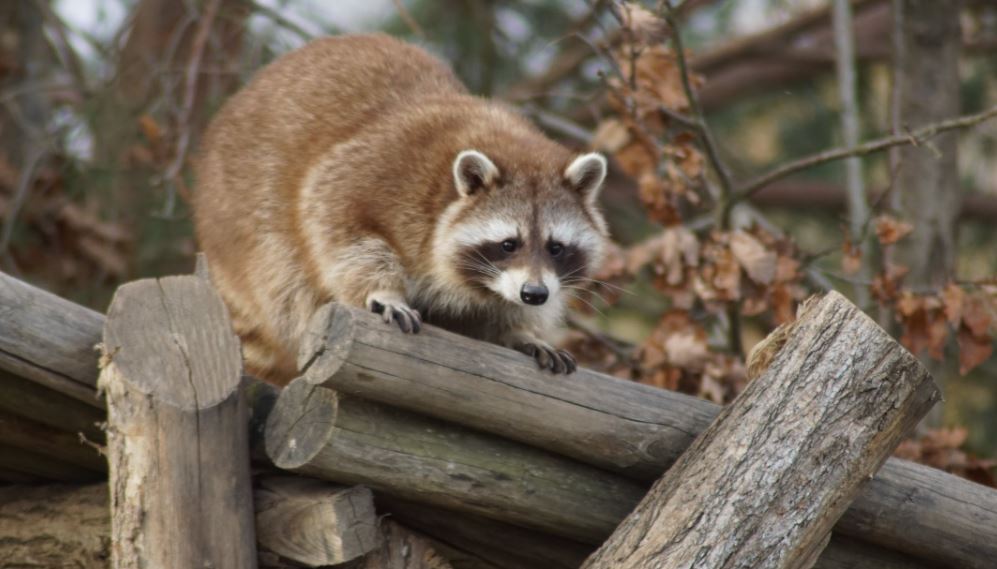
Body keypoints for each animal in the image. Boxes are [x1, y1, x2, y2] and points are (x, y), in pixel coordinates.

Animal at [191, 33, 604, 384]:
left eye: (556, 247)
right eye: (508, 244)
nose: (534, 294)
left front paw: (519, 329)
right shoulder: (382, 172)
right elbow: (335, 220)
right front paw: (382, 290)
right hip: (242, 221)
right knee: (285, 279)